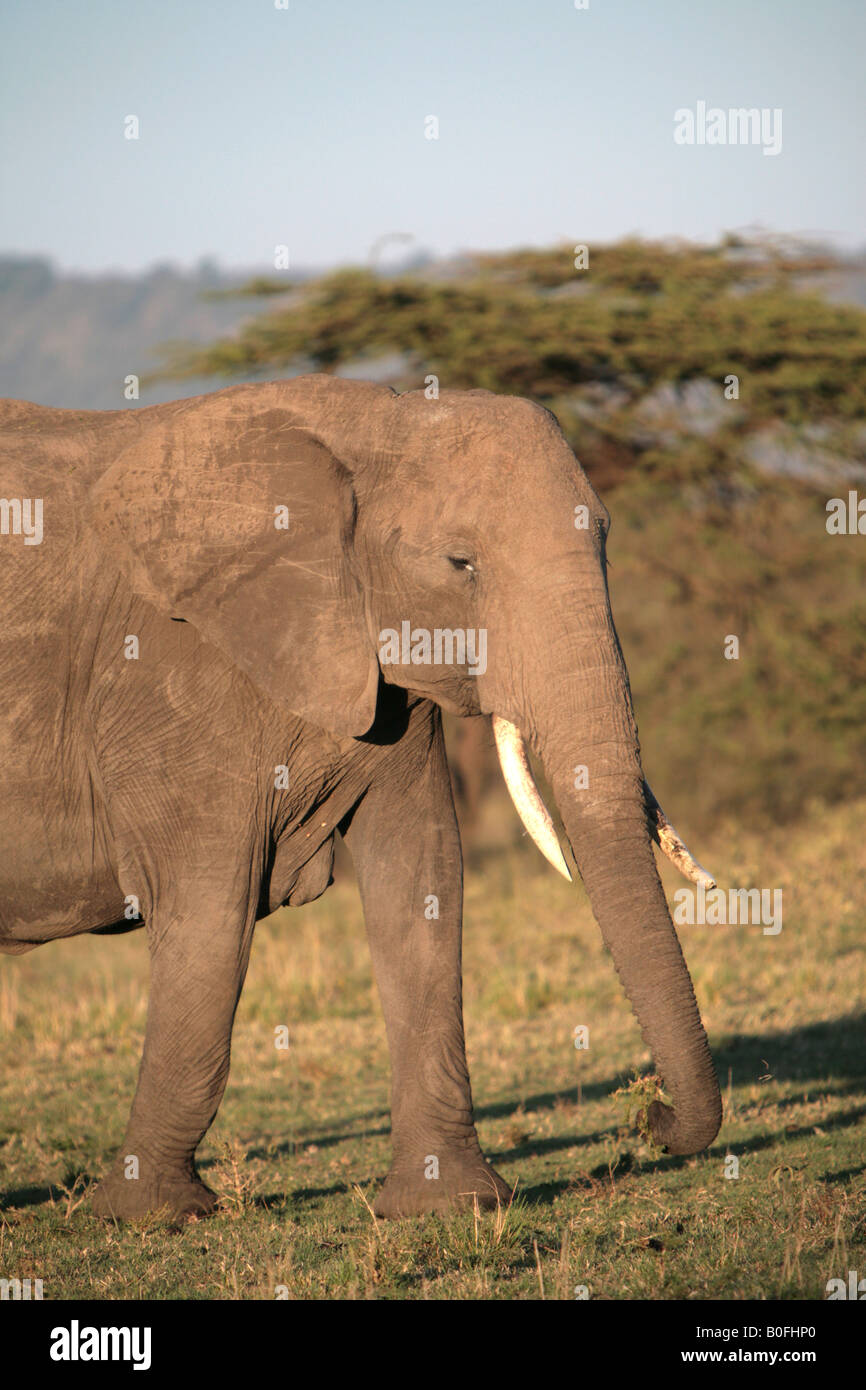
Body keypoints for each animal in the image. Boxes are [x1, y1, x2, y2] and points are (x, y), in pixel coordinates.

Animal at [0, 375, 722, 1220]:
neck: (378, 417)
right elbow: (209, 912)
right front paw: (151, 1217)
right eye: (460, 564)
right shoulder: (160, 678)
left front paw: (448, 1204)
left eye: (606, 542)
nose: (649, 1116)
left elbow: (422, 879)